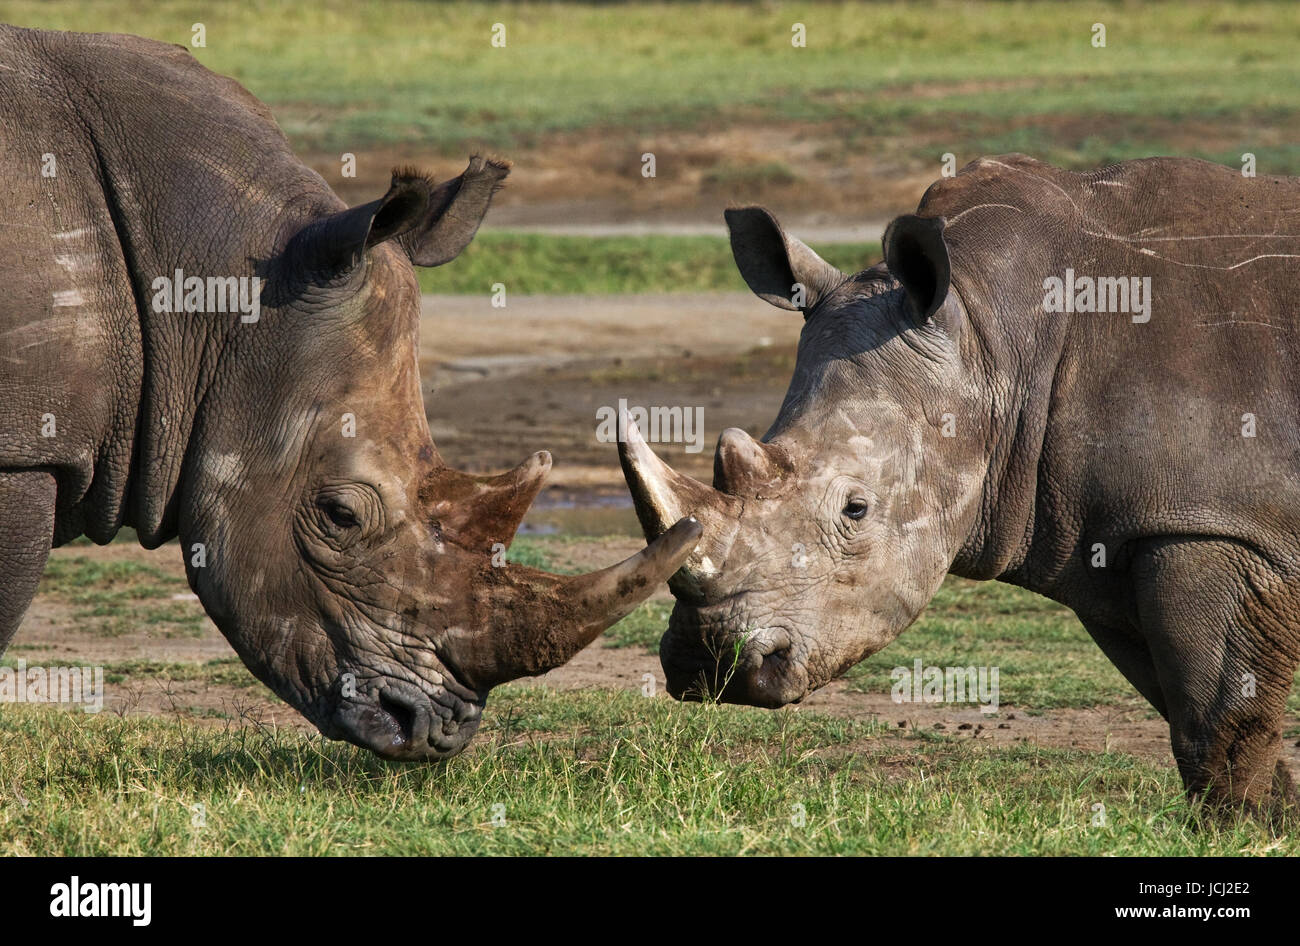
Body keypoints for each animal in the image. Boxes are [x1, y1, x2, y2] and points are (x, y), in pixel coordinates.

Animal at [621, 153, 1300, 818]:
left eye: (856, 509)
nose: (710, 660)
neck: (993, 334)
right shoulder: (1115, 532)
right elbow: (1183, 700)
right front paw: (1274, 820)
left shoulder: (1218, 524)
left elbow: (1219, 715)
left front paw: (1237, 826)